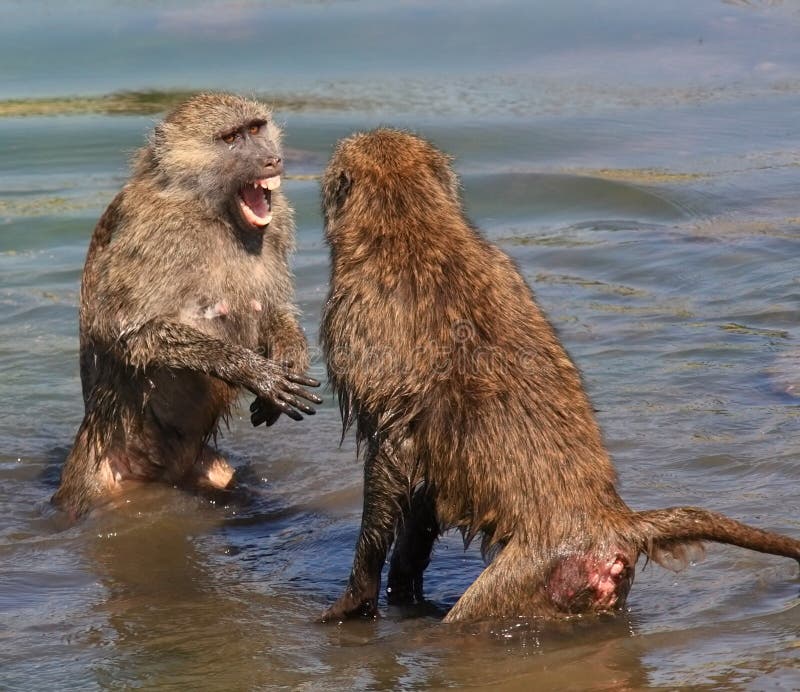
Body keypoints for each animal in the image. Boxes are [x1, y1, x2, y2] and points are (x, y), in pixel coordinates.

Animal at [52, 92, 322, 517]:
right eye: (231, 138)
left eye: (256, 128)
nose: (271, 159)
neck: (208, 209)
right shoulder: (157, 234)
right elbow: (129, 332)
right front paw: (254, 372)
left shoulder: (276, 224)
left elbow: (273, 308)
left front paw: (291, 358)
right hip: (95, 476)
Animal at [318, 128, 800, 623]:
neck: (409, 225)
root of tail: (610, 522)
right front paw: (403, 588)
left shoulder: (357, 327)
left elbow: (391, 458)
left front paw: (354, 600)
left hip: (523, 581)